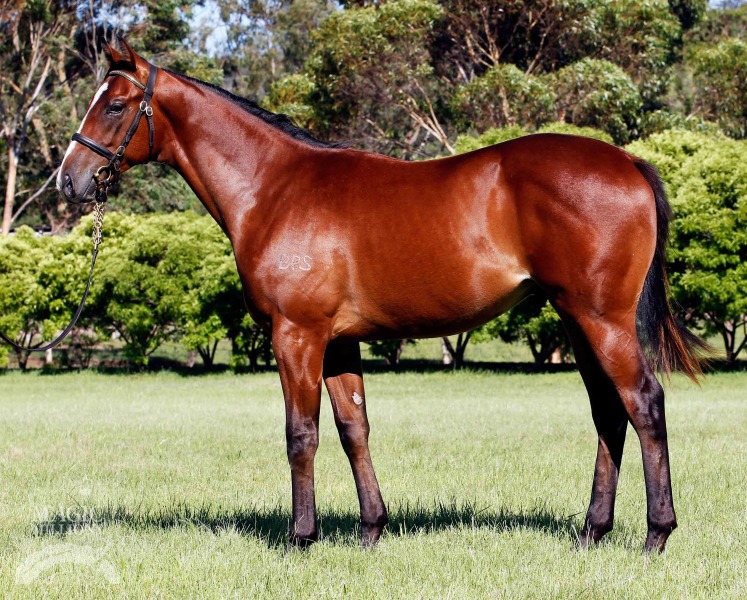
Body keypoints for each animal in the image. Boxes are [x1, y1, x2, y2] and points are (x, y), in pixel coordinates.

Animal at [56, 38, 705, 553]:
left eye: (114, 105)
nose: (68, 180)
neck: (275, 188)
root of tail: (629, 162)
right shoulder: (338, 343)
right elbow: (353, 430)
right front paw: (371, 529)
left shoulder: (297, 336)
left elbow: (301, 435)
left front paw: (301, 539)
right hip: (576, 319)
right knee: (608, 413)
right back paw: (593, 531)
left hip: (603, 320)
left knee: (644, 403)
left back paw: (656, 534)